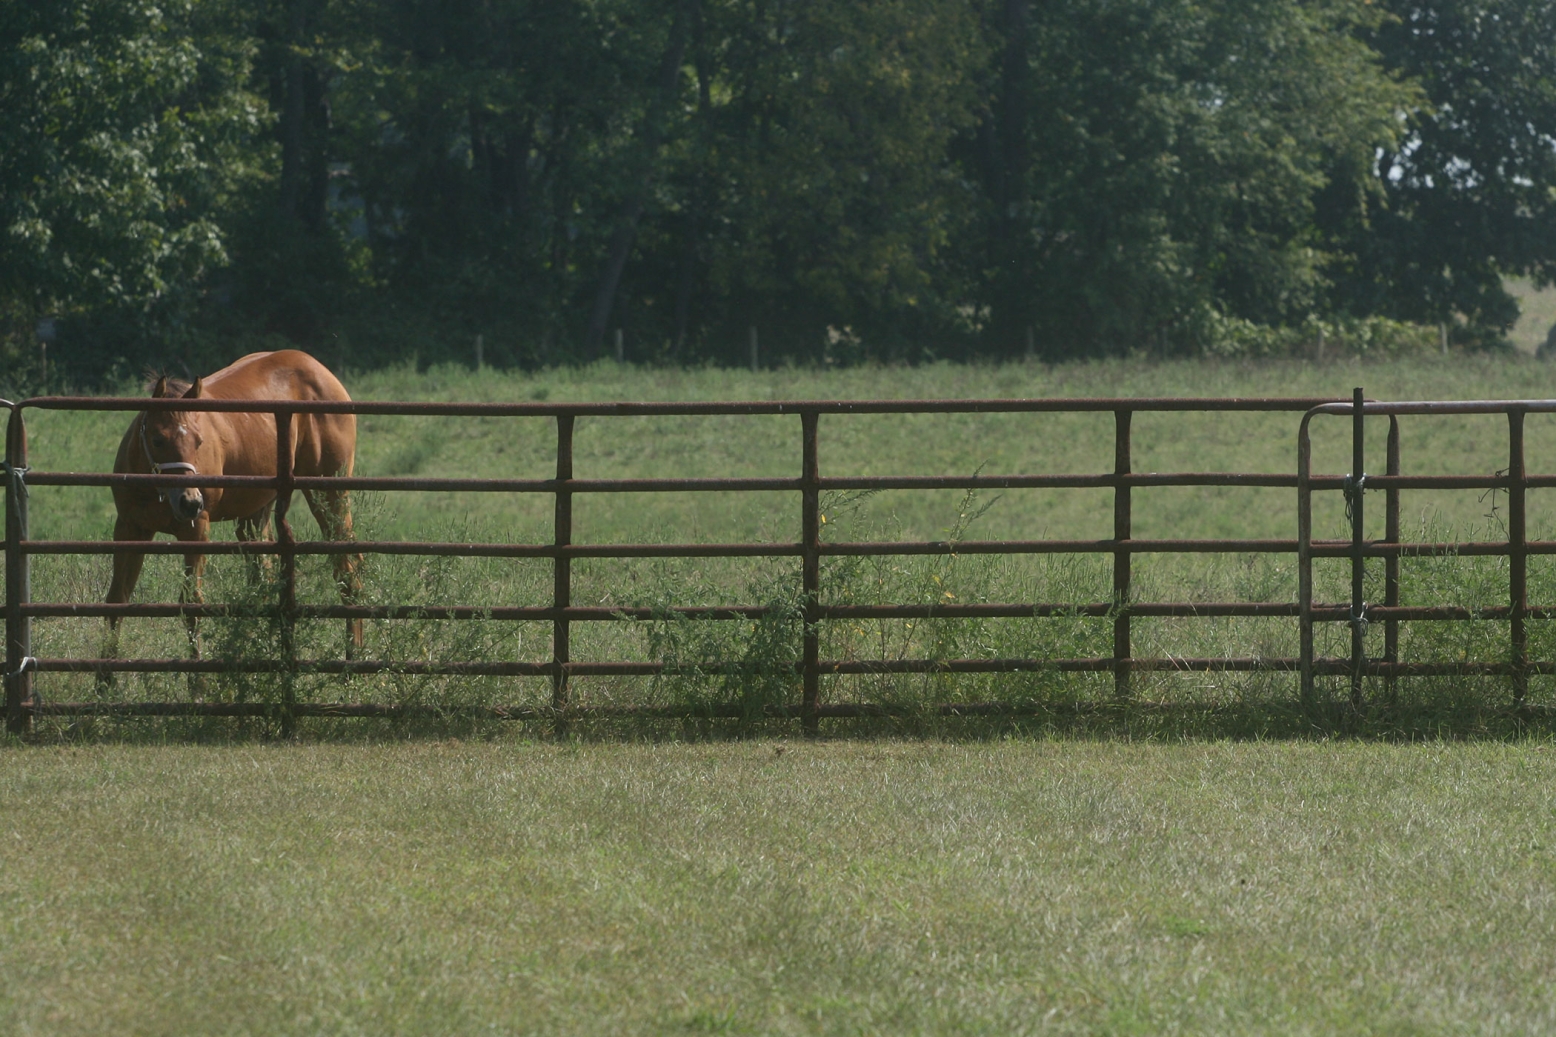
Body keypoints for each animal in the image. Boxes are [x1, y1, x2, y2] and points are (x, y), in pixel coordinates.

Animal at [104, 350, 364, 662]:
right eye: (158, 439)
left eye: (199, 441)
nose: (190, 502)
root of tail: (319, 369)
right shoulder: (130, 529)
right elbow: (116, 600)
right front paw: (104, 673)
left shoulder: (196, 532)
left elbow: (191, 603)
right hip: (254, 516)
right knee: (262, 582)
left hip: (329, 496)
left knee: (347, 571)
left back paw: (354, 655)